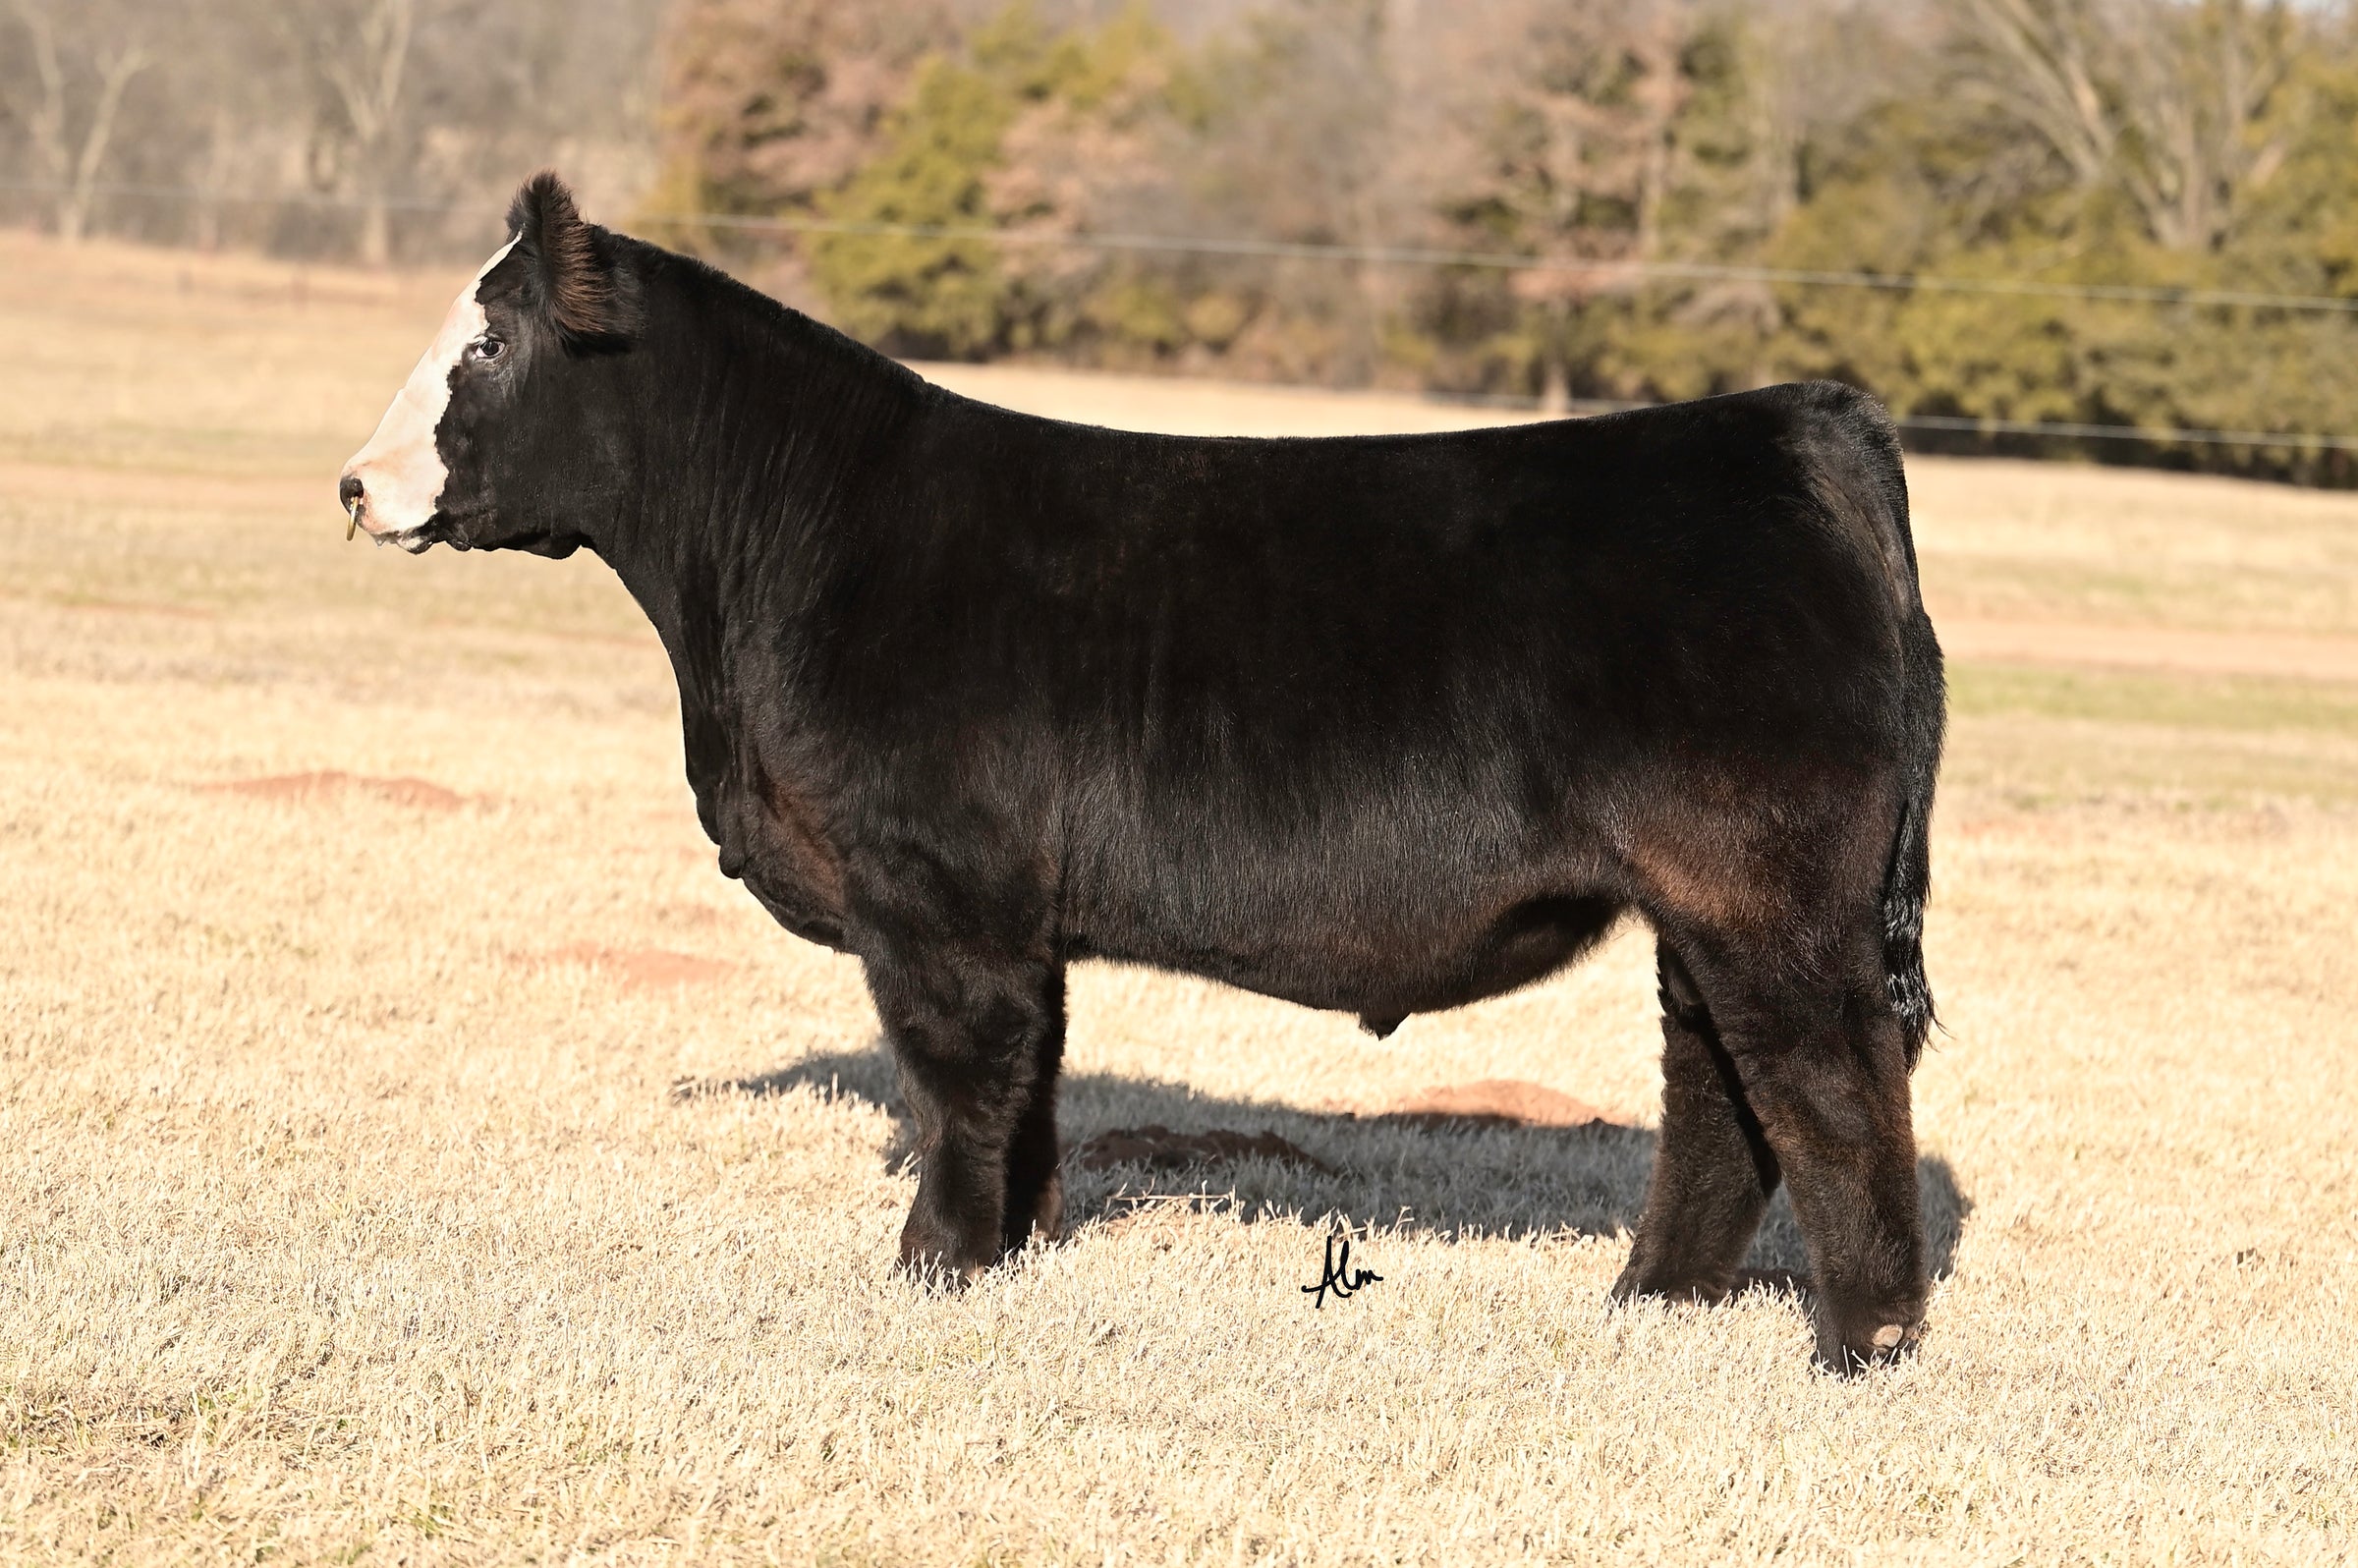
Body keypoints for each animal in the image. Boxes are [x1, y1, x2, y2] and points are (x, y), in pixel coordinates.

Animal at [340, 174, 1945, 1373]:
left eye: (486, 349)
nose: (356, 486)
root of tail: (1795, 422)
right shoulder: (1013, 915)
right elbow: (1029, 1078)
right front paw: (1016, 1246)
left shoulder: (936, 895)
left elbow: (961, 1076)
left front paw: (931, 1265)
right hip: (1708, 908)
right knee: (1721, 1088)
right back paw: (1650, 1301)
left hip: (1765, 893)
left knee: (1829, 1083)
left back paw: (1861, 1343)